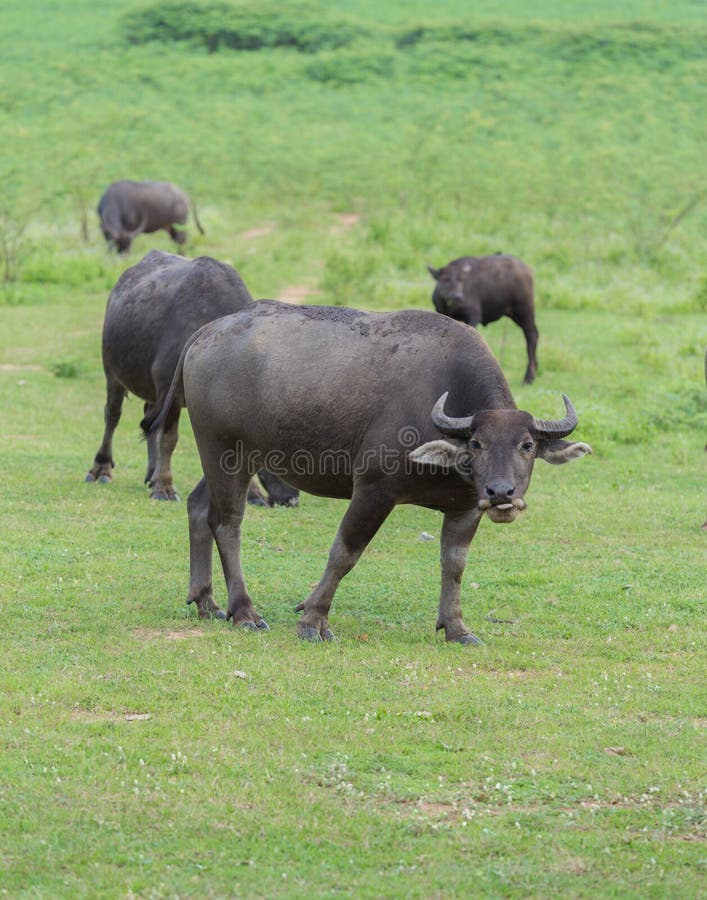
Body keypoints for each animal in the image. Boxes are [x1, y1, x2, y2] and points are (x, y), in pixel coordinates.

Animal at [85, 250, 299, 510]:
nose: (292, 498)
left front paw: (252, 494)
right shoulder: (170, 393)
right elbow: (169, 440)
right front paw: (164, 488)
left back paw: (151, 473)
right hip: (113, 374)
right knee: (112, 417)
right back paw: (101, 469)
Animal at [146, 301, 590, 642]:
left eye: (527, 445)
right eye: (477, 443)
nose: (501, 493)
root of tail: (208, 332)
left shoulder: (465, 508)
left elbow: (454, 564)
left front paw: (457, 628)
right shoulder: (375, 490)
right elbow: (345, 552)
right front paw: (313, 621)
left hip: (233, 459)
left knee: (198, 507)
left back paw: (206, 600)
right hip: (225, 454)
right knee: (228, 523)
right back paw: (244, 612)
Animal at [428, 254, 539, 384]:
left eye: (460, 280)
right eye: (445, 279)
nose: (458, 297)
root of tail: (526, 269)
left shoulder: (473, 316)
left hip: (524, 311)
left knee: (531, 335)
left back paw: (528, 377)